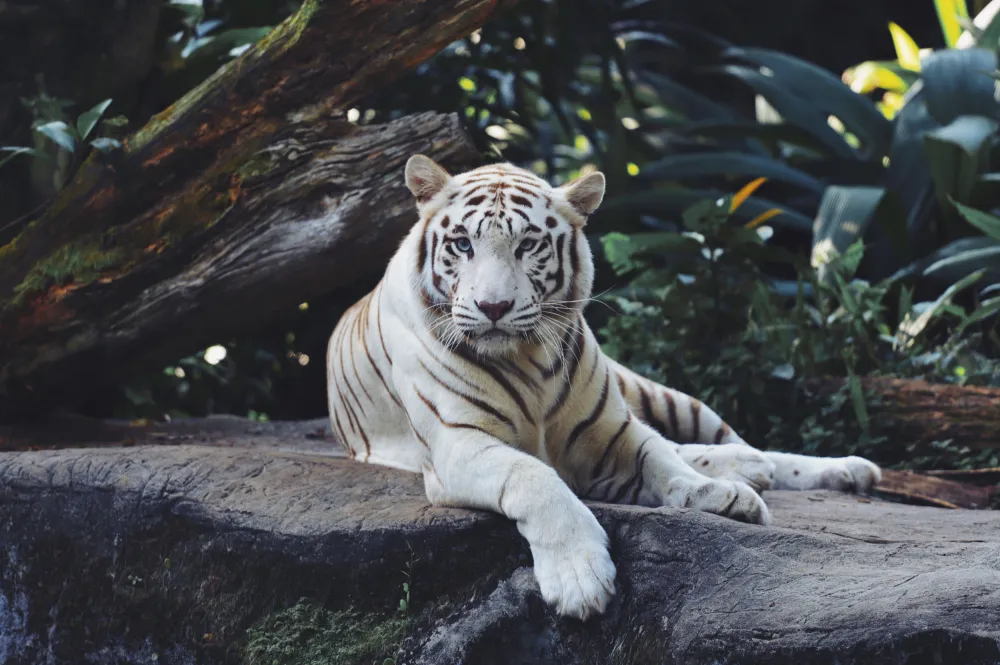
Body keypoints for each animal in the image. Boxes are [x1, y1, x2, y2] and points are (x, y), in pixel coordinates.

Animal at [326, 154, 881, 621]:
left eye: (527, 245)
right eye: (463, 244)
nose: (493, 307)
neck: (527, 358)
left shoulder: (611, 430)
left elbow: (659, 460)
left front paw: (712, 494)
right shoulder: (456, 444)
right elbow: (534, 476)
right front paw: (579, 580)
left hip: (663, 396)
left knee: (727, 443)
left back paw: (829, 469)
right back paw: (751, 470)